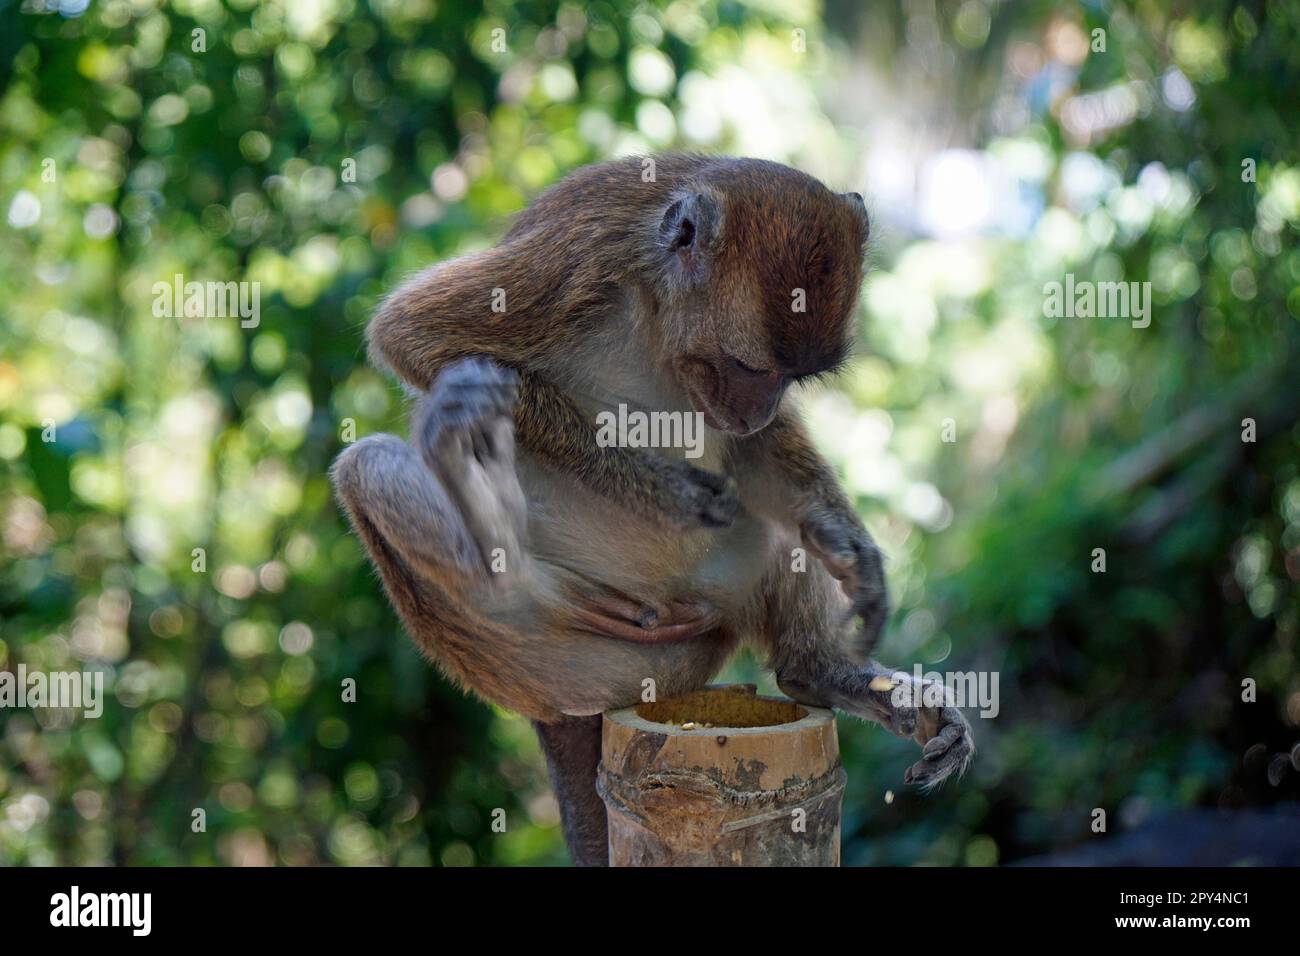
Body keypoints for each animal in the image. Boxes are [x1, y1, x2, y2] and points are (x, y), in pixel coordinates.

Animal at [331, 154, 973, 866]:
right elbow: (412, 335)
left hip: (681, 647)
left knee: (772, 540)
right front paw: (660, 488)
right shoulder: (576, 265)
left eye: (791, 379)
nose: (758, 410)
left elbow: (758, 462)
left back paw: (823, 674)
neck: (657, 311)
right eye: (746, 365)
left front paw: (846, 542)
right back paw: (494, 550)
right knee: (373, 464)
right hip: (524, 657)